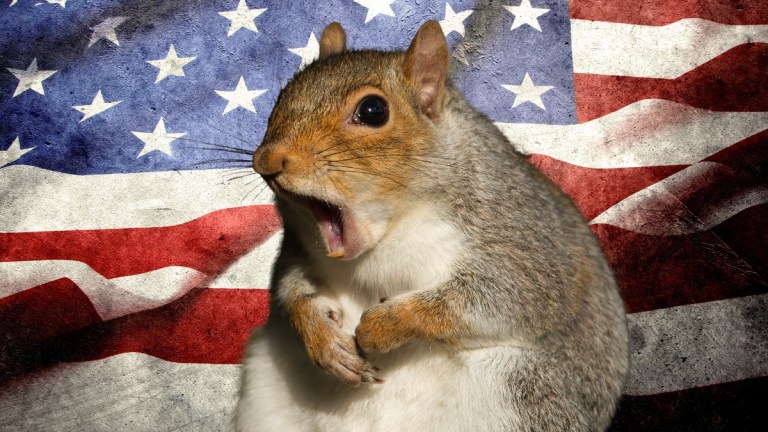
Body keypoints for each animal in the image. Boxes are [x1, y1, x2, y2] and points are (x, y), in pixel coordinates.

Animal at [236, 20, 629, 432]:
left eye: (373, 110)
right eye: (281, 96)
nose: (266, 160)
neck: (391, 230)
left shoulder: (524, 240)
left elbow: (502, 298)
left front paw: (382, 326)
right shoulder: (297, 249)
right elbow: (291, 290)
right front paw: (325, 341)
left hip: (525, 393)